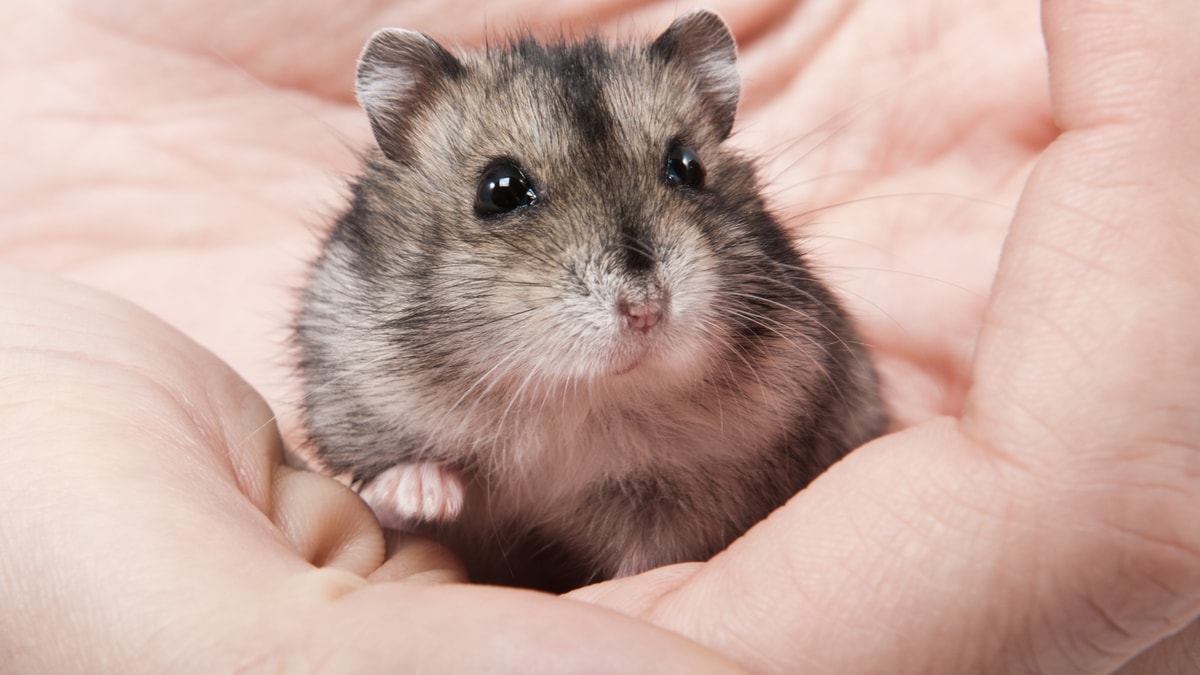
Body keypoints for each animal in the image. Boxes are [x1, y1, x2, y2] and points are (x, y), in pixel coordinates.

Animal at [296, 9, 886, 592]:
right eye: (499, 189)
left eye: (687, 166)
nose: (645, 310)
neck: (577, 395)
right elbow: (396, 470)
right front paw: (426, 497)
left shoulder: (697, 489)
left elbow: (655, 550)